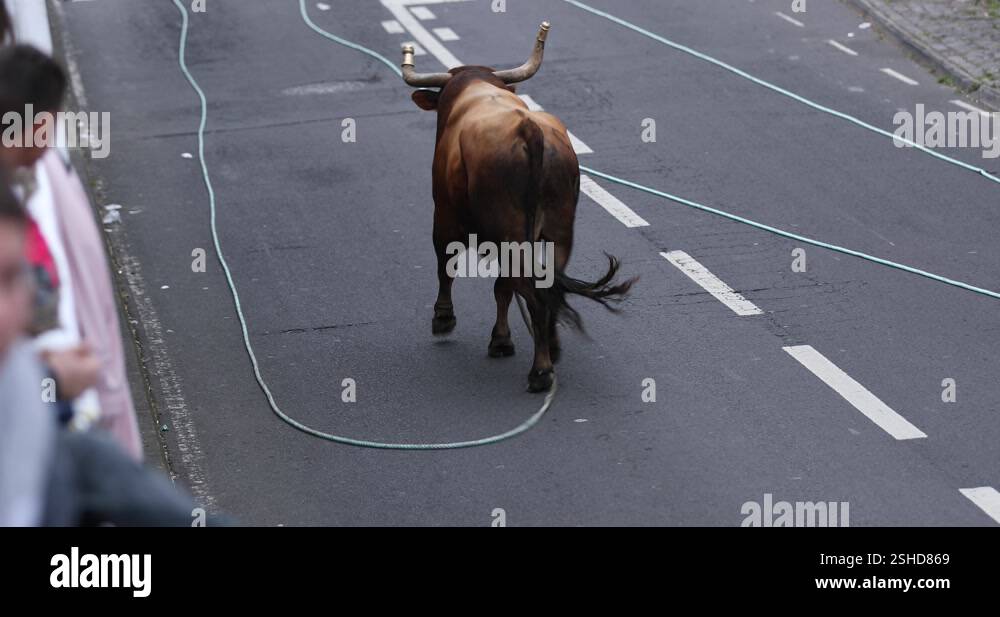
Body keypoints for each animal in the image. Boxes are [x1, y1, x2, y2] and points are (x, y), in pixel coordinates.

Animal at [401, 22, 634, 393]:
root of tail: (529, 130)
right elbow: (503, 288)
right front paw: (502, 338)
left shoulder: (444, 214)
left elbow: (447, 265)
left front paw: (445, 318)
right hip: (557, 232)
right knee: (544, 289)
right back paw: (550, 347)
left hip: (509, 232)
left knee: (531, 294)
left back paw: (540, 371)